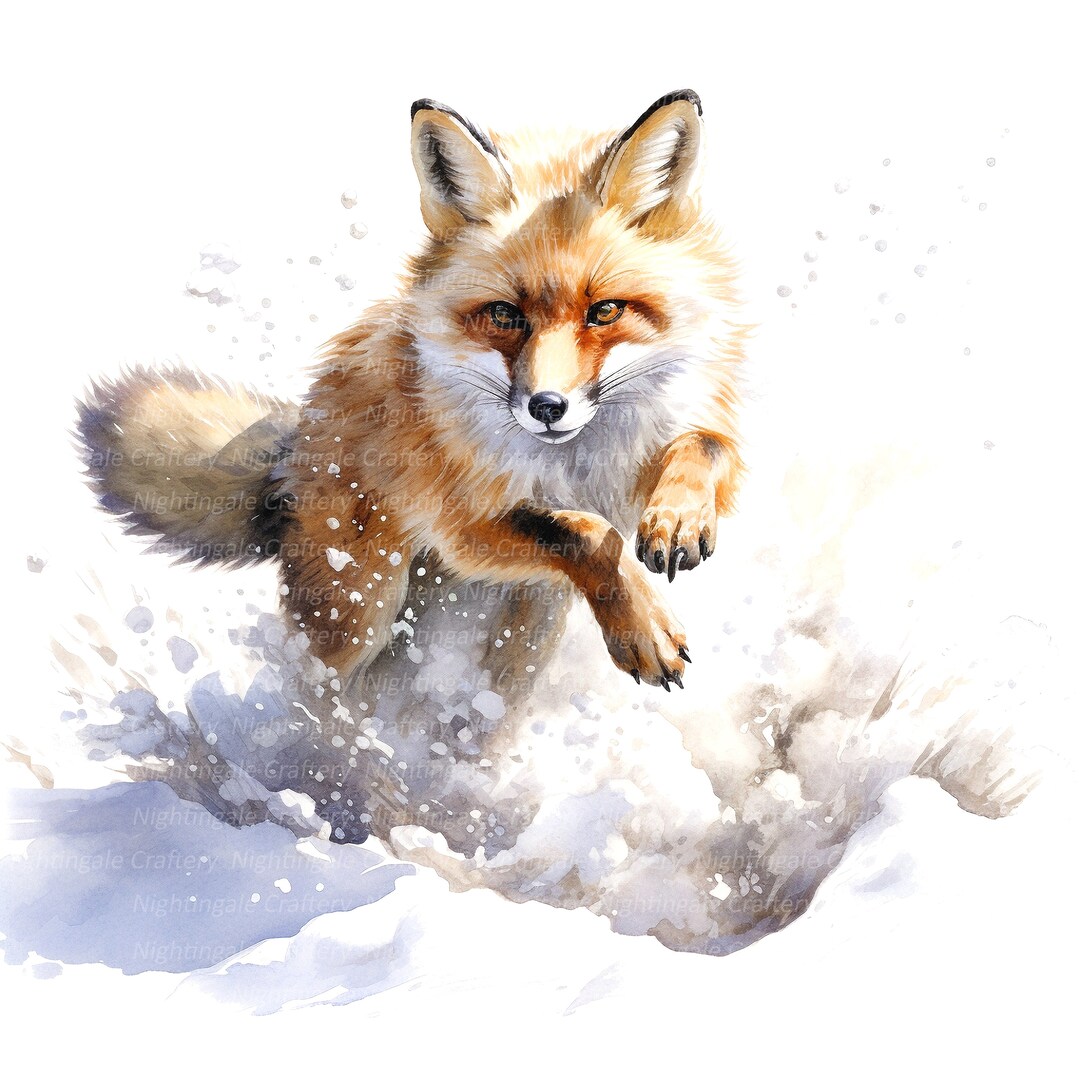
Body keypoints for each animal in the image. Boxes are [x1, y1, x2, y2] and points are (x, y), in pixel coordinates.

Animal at [77, 89, 746, 694]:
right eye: (504, 315)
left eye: (605, 311)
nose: (546, 408)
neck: (576, 465)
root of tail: (299, 444)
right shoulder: (464, 521)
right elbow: (582, 533)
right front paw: (648, 630)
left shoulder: (645, 460)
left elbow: (705, 447)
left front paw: (679, 519)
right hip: (361, 611)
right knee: (317, 695)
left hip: (527, 630)